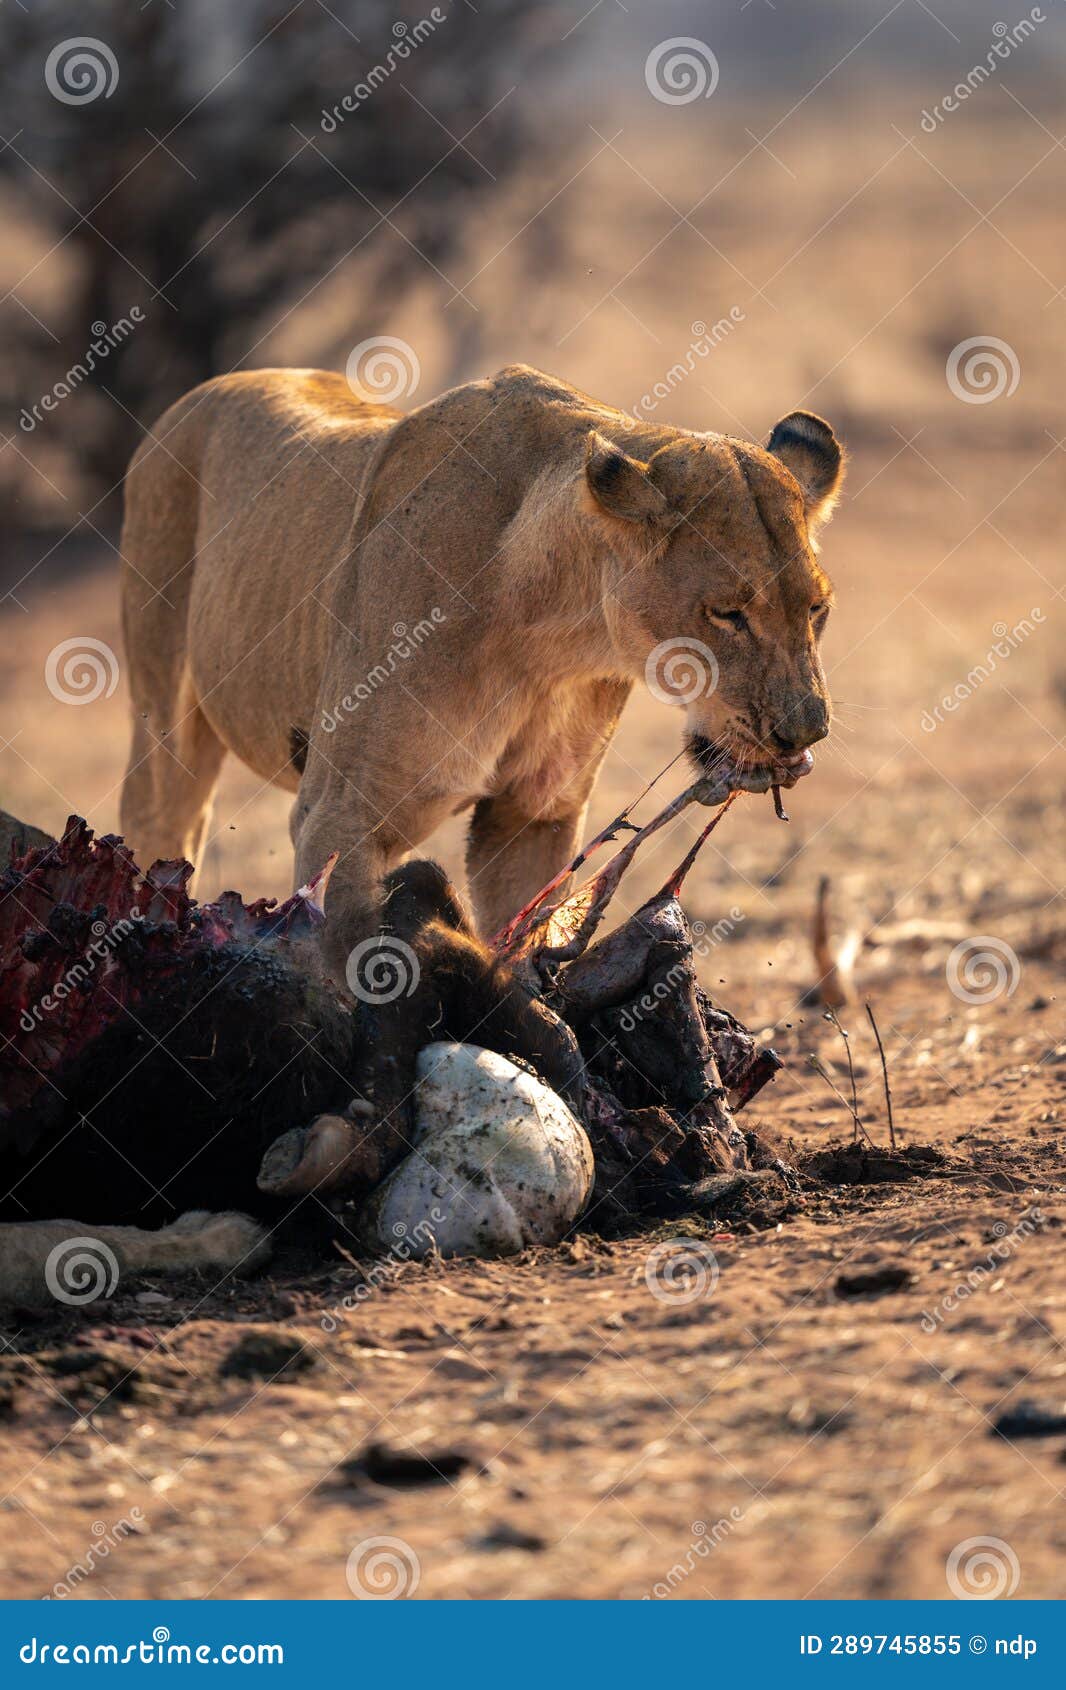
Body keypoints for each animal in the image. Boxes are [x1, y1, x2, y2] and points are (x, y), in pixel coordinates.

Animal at [119, 363, 843, 977]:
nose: (805, 732)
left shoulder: (532, 818)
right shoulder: (338, 818)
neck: (554, 637)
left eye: (818, 609)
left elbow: (517, 947)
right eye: (727, 613)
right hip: (167, 733)